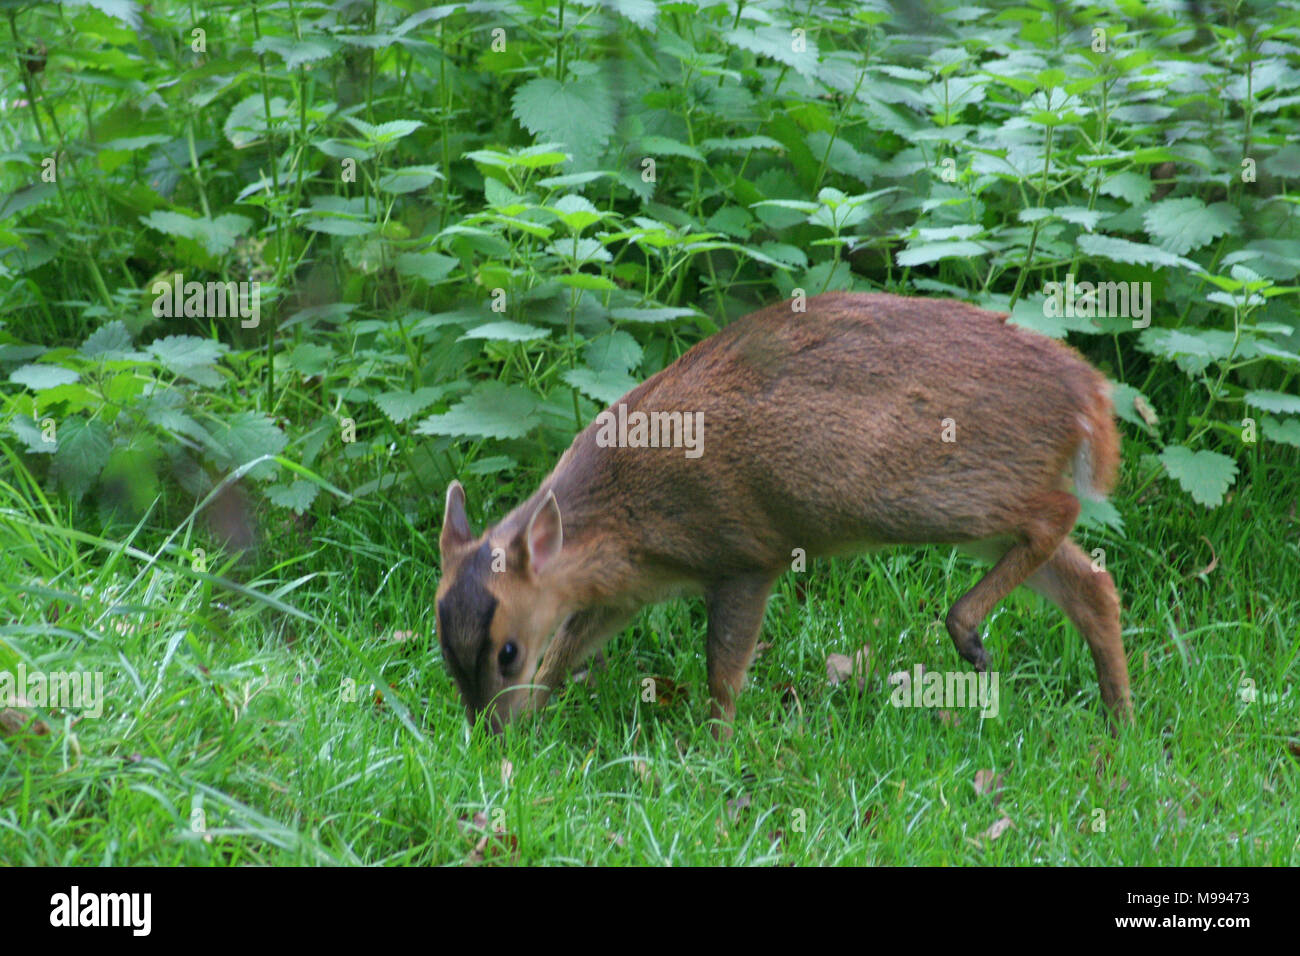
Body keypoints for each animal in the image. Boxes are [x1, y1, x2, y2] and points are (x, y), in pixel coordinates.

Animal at [436, 292, 1132, 738]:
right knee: (1093, 581)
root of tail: (1091, 395)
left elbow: (722, 674)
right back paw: (1120, 723)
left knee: (1062, 511)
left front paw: (711, 753)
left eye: (506, 653)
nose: (488, 736)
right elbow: (568, 648)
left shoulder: (746, 554)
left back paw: (968, 630)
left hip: (923, 491)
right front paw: (534, 719)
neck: (627, 518)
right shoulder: (629, 590)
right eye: (445, 651)